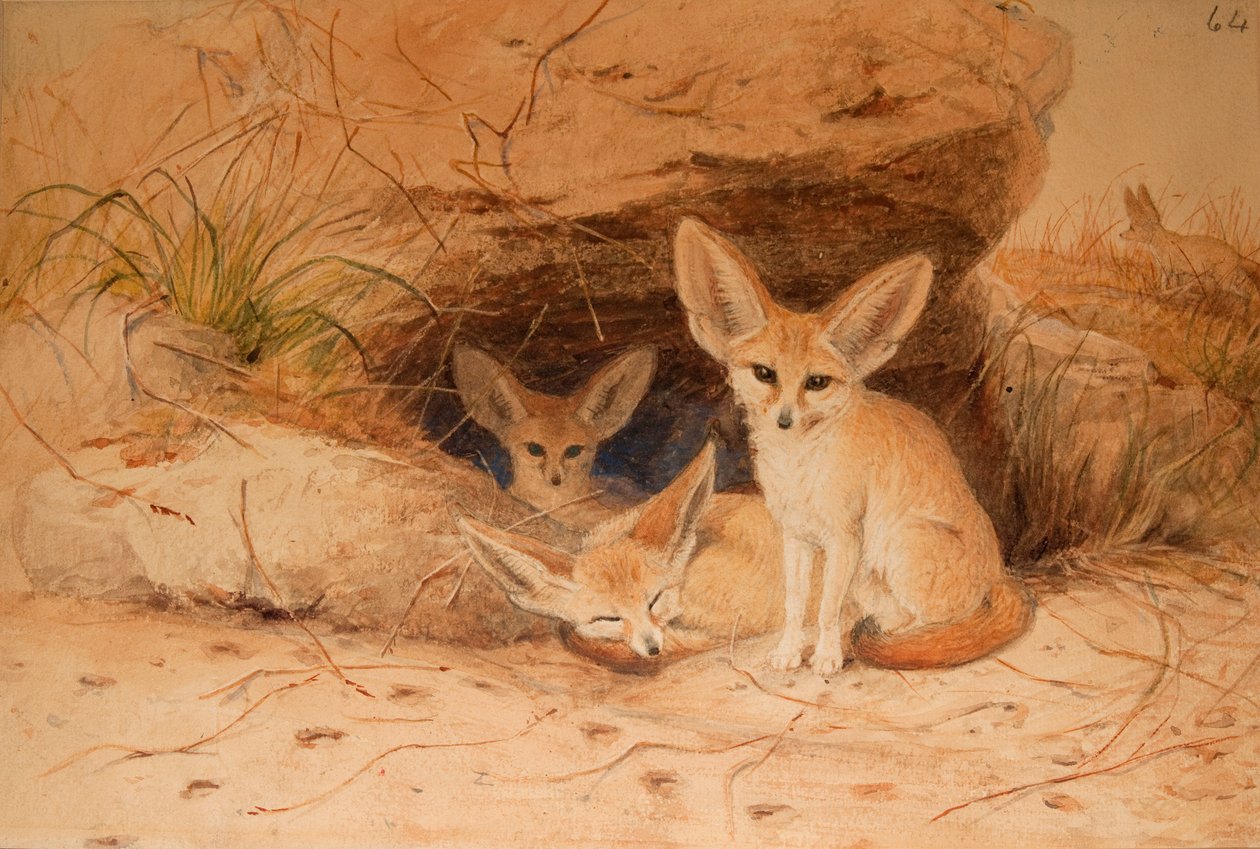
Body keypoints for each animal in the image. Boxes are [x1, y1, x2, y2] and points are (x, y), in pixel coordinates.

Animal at [671, 218, 1034, 674]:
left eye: (817, 382)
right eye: (765, 374)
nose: (785, 421)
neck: (799, 464)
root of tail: (999, 574)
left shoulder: (843, 538)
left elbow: (826, 607)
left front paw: (826, 657)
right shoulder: (796, 536)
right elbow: (795, 603)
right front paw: (789, 651)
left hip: (899, 543)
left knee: (940, 625)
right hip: (870, 574)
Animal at [1121, 183, 1260, 300]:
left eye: (1131, 228)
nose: (1120, 234)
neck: (1159, 242)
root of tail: (1237, 255)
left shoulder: (1169, 271)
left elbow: (1168, 287)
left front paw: (1166, 294)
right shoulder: (1171, 273)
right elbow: (1169, 285)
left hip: (1224, 281)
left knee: (1245, 293)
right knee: (1247, 294)